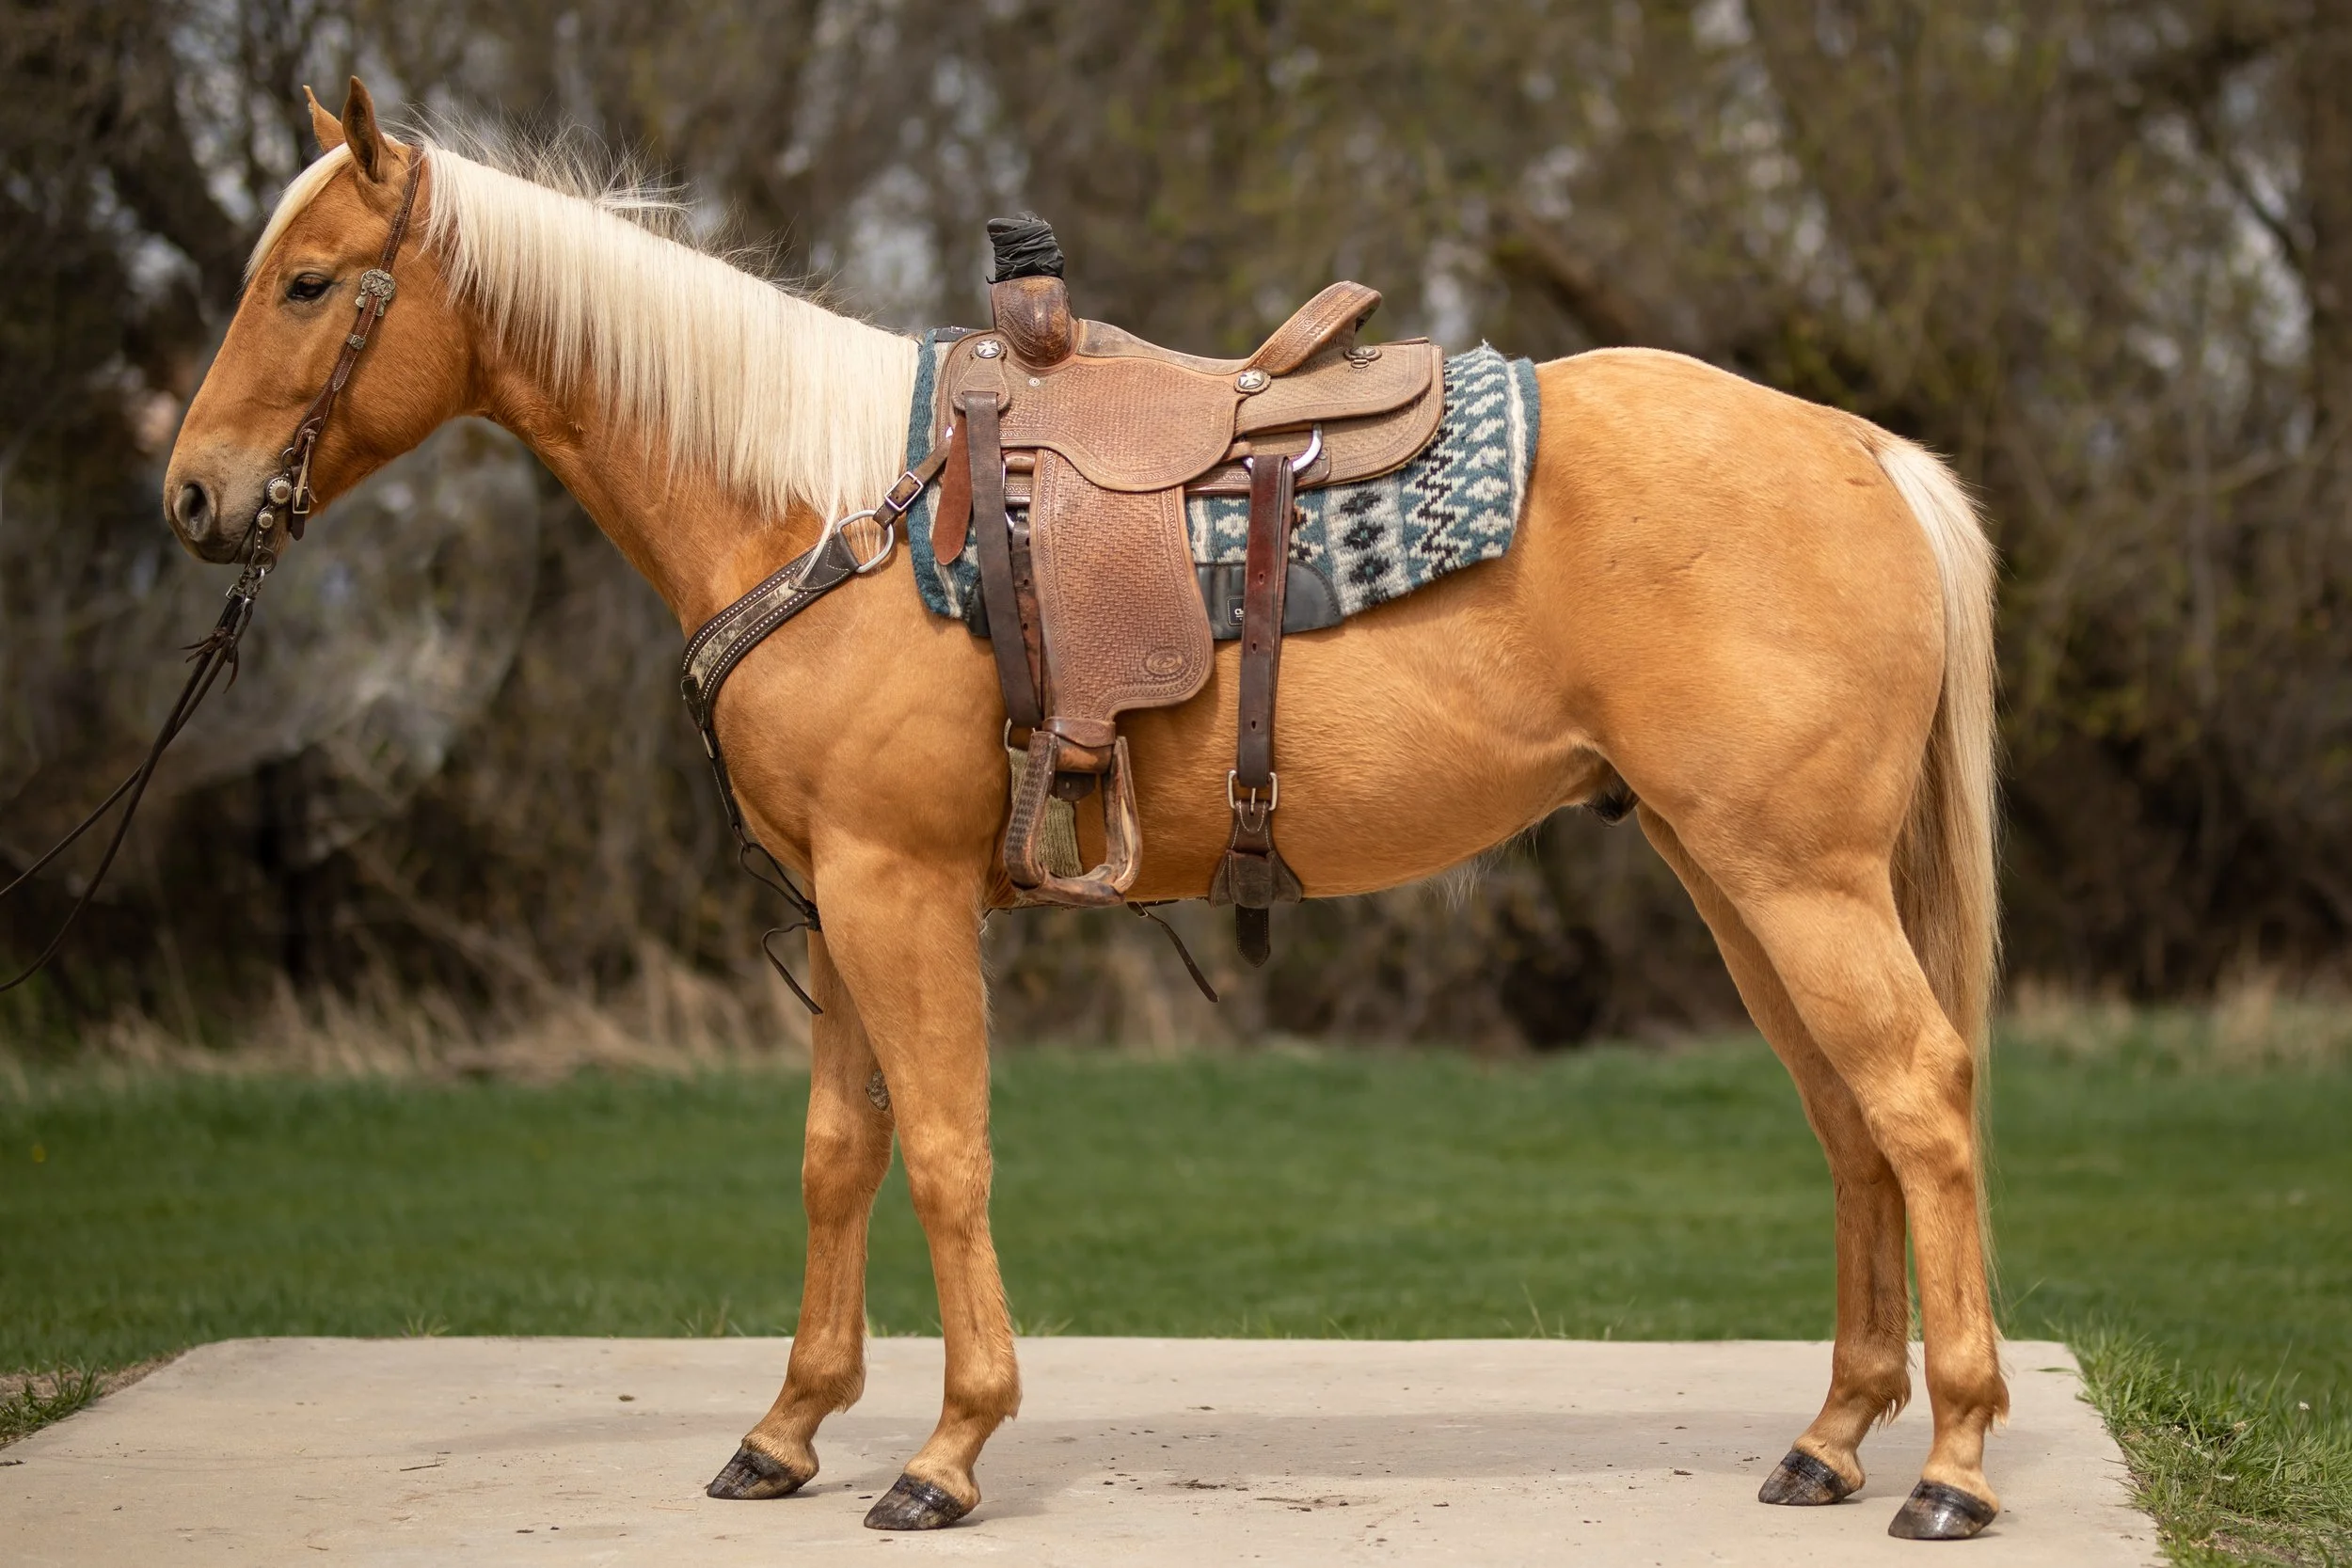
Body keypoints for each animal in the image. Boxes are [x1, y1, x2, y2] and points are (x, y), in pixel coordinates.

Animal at [163, 79, 2006, 1541]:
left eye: (309, 283)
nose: (191, 495)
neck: (828, 512)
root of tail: (1861, 450)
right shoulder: (835, 899)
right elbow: (838, 1154)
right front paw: (786, 1430)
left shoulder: (899, 891)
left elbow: (945, 1152)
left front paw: (946, 1451)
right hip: (1734, 873)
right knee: (1847, 1117)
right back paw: (1834, 1438)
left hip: (1795, 876)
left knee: (1918, 1096)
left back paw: (1956, 1463)